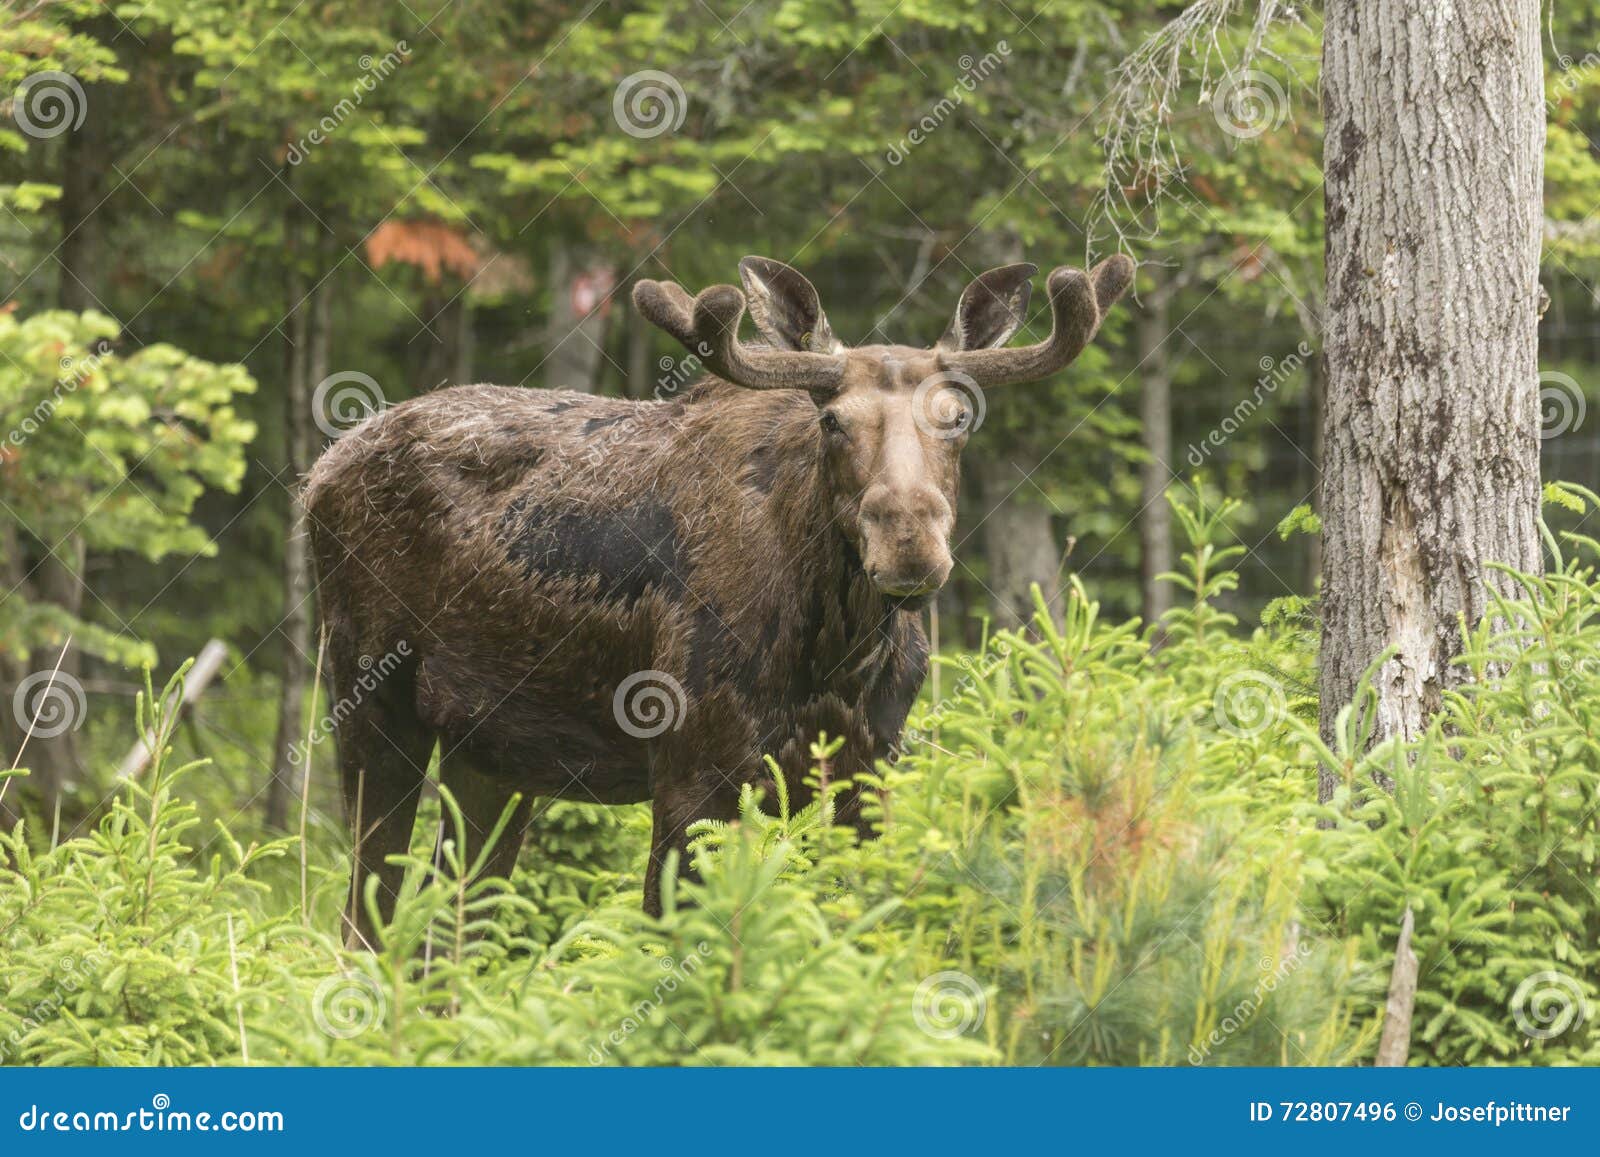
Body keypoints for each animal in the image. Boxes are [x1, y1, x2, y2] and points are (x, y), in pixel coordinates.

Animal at [304, 252, 1134, 946]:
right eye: (832, 420)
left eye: (958, 418)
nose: (908, 541)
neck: (835, 652)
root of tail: (319, 472)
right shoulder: (690, 772)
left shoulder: (869, 773)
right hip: (370, 699)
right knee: (363, 918)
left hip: (490, 755)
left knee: (451, 932)